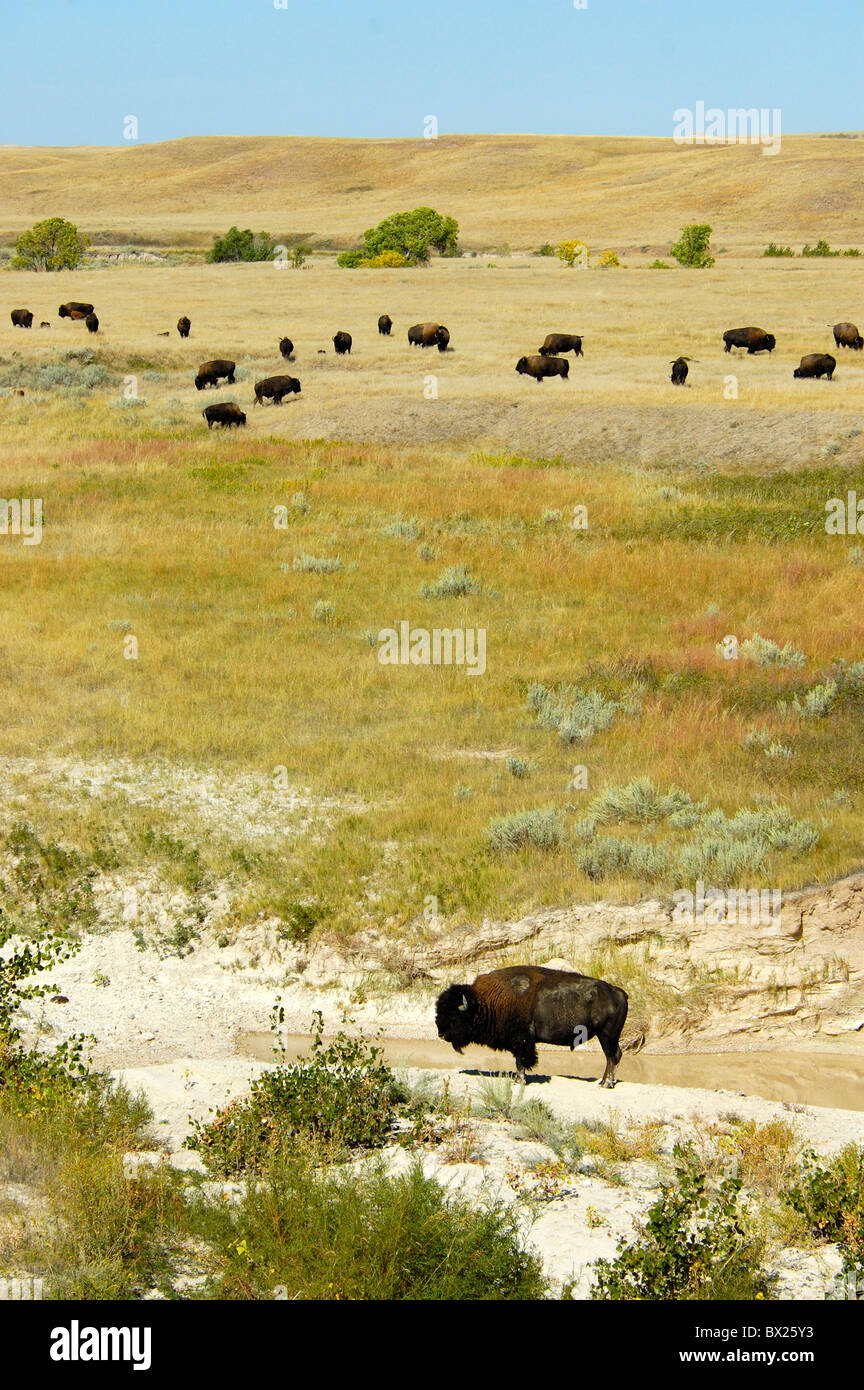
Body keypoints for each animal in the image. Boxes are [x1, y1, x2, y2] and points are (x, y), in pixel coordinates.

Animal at [435, 964, 632, 1087]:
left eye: (453, 1016)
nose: (441, 1034)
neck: (483, 1002)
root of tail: (619, 992)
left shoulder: (521, 1040)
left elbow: (521, 1061)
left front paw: (518, 1081)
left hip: (607, 1035)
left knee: (612, 1056)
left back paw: (606, 1084)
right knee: (613, 1057)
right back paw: (603, 1082)